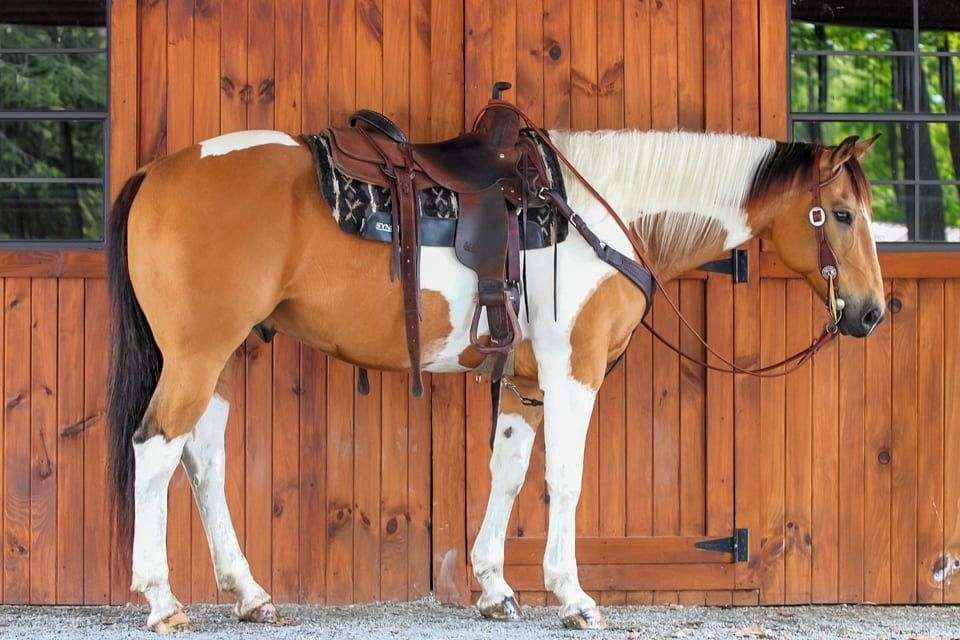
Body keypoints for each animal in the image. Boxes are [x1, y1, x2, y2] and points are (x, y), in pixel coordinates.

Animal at [105, 123, 884, 632]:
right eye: (843, 214)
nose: (872, 312)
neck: (594, 215)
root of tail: (159, 172)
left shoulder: (526, 381)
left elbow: (507, 474)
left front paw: (493, 588)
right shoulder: (574, 371)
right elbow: (564, 479)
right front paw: (574, 598)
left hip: (218, 357)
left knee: (202, 458)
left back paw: (249, 593)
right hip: (198, 354)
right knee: (156, 448)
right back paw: (163, 601)